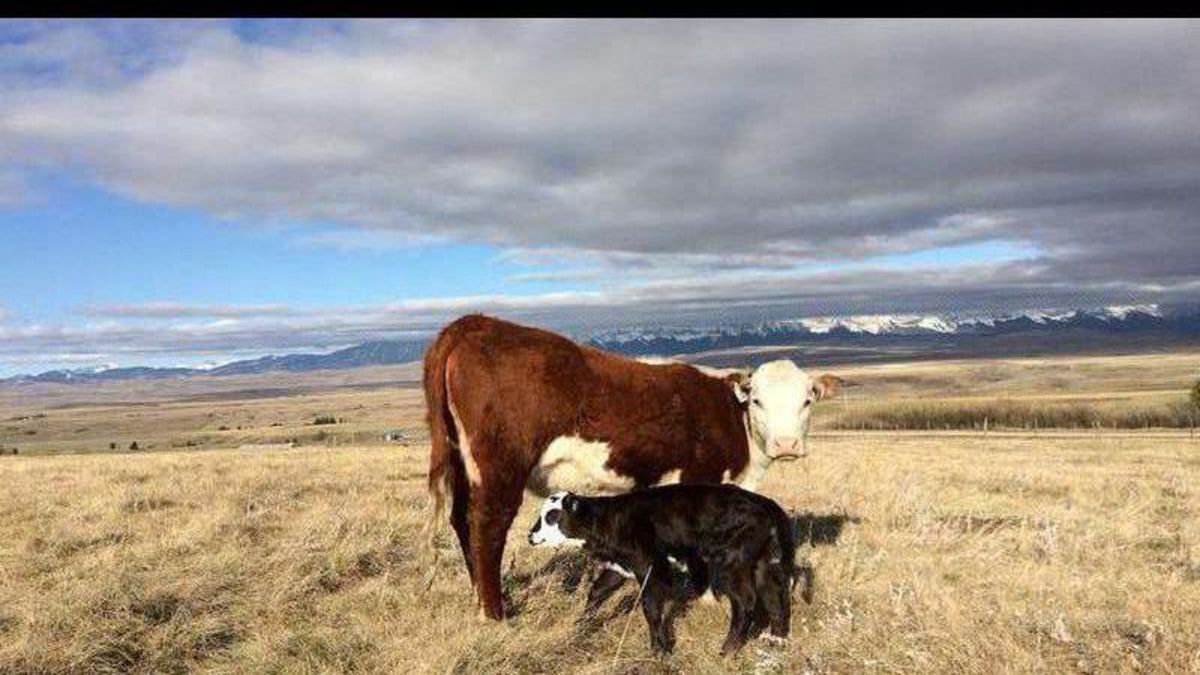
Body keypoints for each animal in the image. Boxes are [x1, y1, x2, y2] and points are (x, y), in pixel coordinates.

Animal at [423, 314, 841, 620]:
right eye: (757, 400)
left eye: (807, 400)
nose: (786, 444)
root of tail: (474, 323)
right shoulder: (699, 479)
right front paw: (709, 598)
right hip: (500, 466)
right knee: (487, 526)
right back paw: (494, 614)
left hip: (461, 460)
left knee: (460, 520)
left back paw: (478, 596)